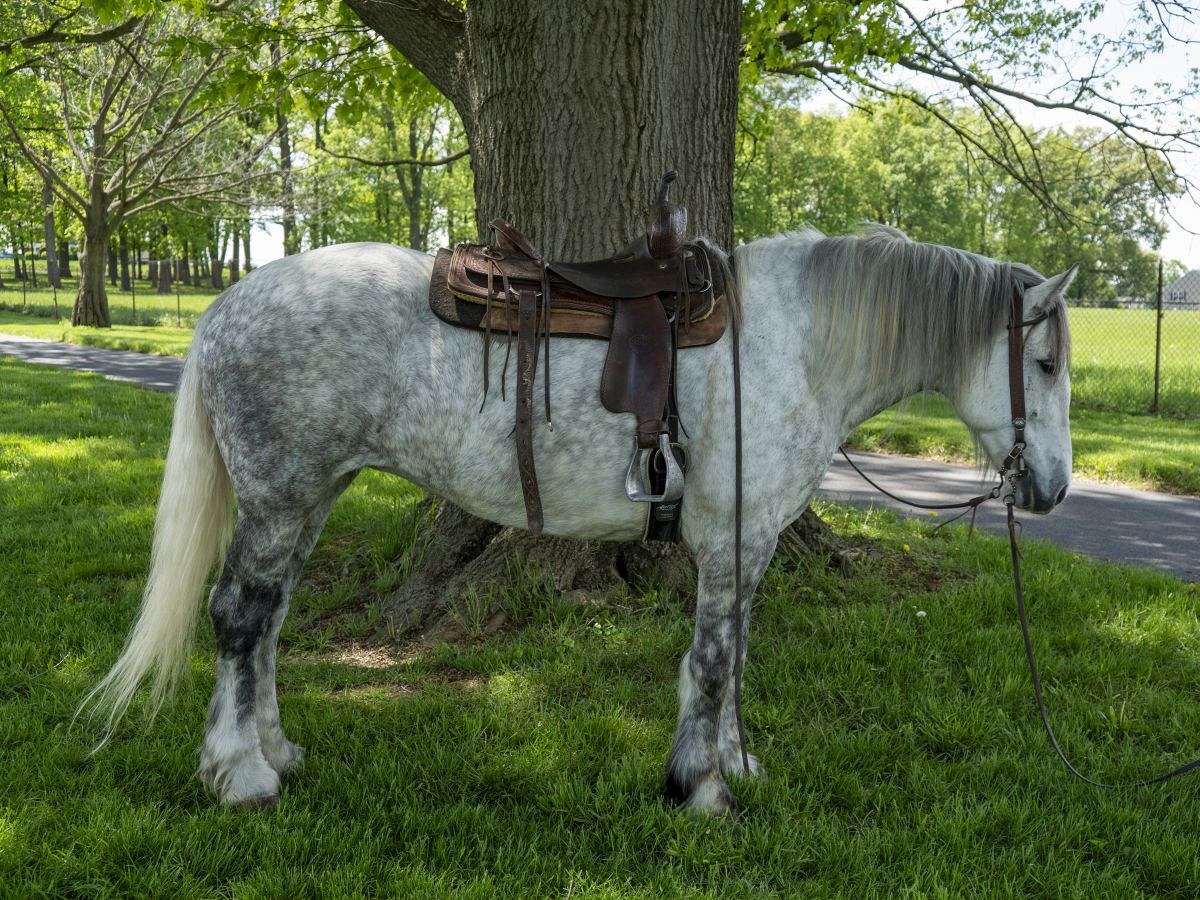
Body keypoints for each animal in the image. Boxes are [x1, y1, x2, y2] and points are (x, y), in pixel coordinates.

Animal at [83, 224, 1075, 815]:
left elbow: (736, 659)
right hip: (281, 495)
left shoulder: (749, 546)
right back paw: (240, 775)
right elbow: (712, 661)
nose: (1054, 490)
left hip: (311, 495)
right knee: (238, 618)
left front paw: (734, 764)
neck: (790, 346)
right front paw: (700, 788)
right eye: (1047, 362)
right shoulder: (733, 538)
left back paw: (274, 751)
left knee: (271, 622)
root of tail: (226, 306)